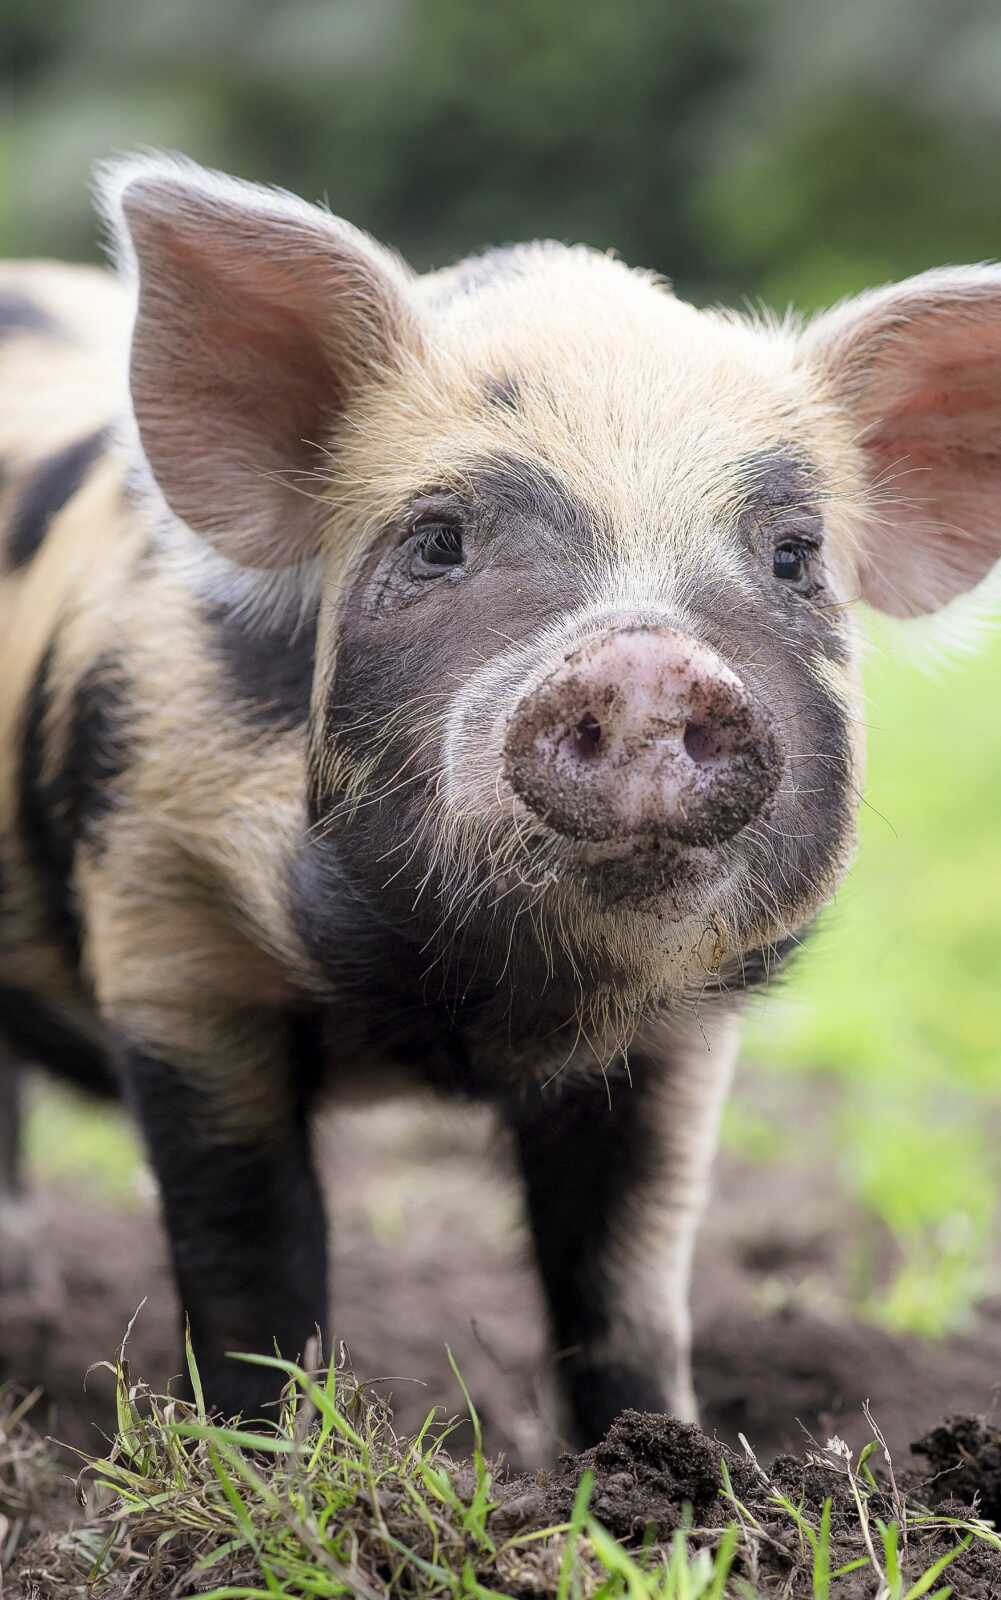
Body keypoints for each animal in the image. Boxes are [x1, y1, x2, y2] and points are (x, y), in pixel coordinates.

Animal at [1, 154, 999, 1446]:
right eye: (436, 540)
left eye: (793, 557)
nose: (641, 658)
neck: (463, 1011)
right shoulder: (164, 930)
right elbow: (246, 1252)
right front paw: (261, 1450)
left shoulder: (680, 1040)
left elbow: (627, 1275)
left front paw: (659, 1458)